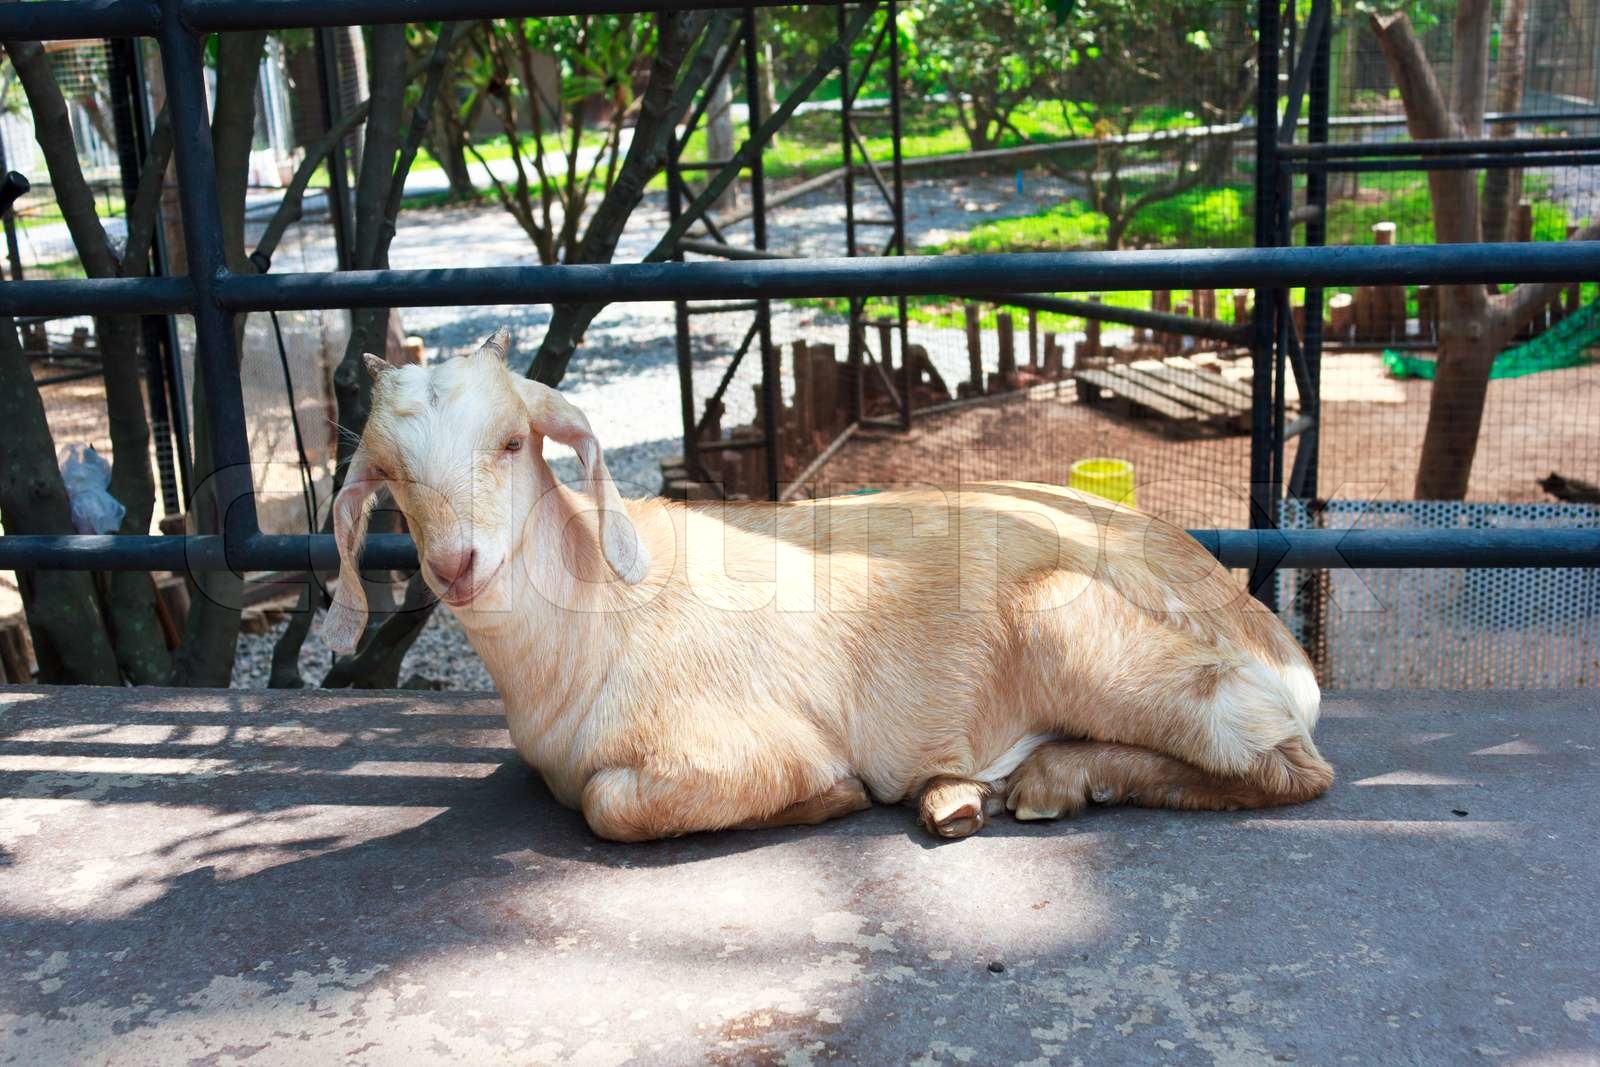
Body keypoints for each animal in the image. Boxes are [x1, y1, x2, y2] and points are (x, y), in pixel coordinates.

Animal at [325, 327, 1333, 842]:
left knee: (1281, 756)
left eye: (510, 441)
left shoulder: (727, 749)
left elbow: (614, 807)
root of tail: (1274, 639)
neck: (593, 627)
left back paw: (1051, 778)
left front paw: (836, 797)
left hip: (1078, 627)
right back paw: (963, 794)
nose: (456, 565)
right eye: (391, 478)